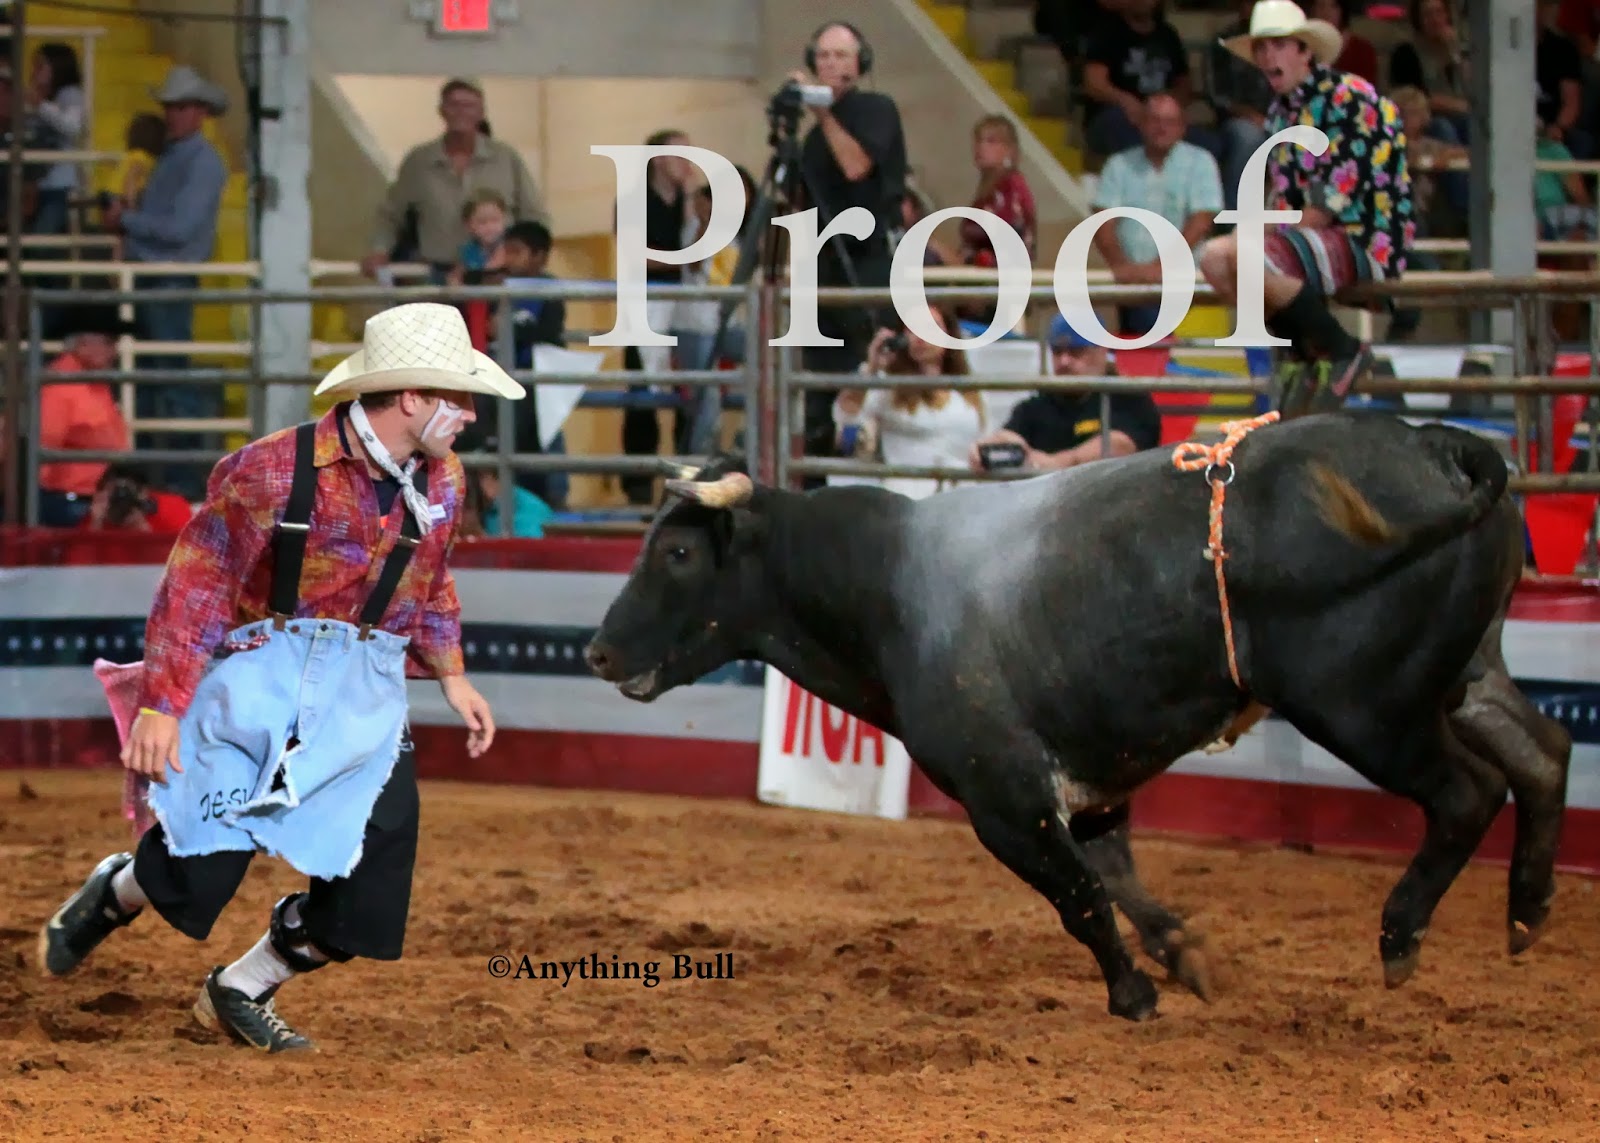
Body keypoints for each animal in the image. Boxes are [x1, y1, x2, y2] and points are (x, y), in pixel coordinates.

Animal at [583, 410, 1571, 1021]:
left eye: (676, 552)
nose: (597, 652)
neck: (884, 584)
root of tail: (1437, 443)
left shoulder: (1005, 799)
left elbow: (1081, 896)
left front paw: (1133, 993)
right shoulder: (1092, 786)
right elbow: (1119, 880)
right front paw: (1183, 954)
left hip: (1365, 705)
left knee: (1466, 793)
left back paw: (1402, 935)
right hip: (1466, 675)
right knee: (1545, 753)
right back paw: (1526, 910)